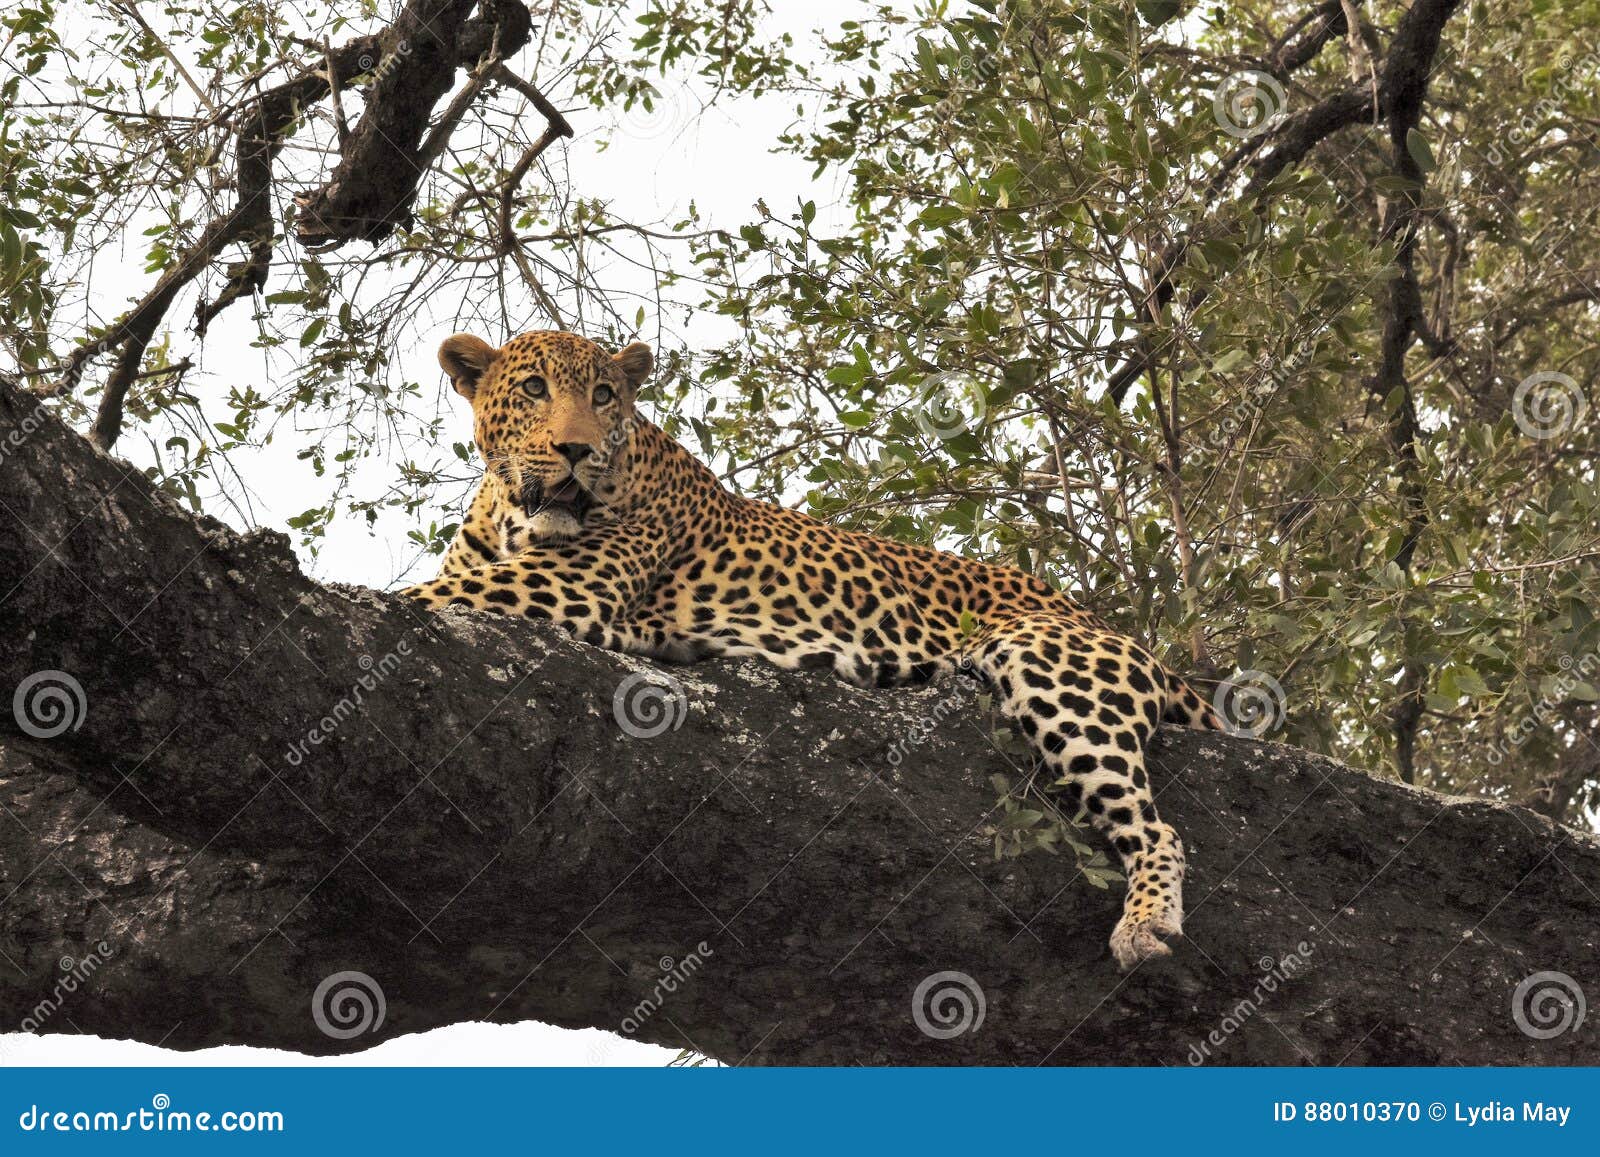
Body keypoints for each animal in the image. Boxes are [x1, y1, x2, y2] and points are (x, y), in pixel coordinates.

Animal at [402, 329, 1224, 970]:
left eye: (605, 395)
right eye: (534, 388)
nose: (575, 450)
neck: (512, 514)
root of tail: (1105, 623)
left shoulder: (561, 588)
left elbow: (407, 597)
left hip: (1054, 665)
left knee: (1158, 829)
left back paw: (1146, 923)